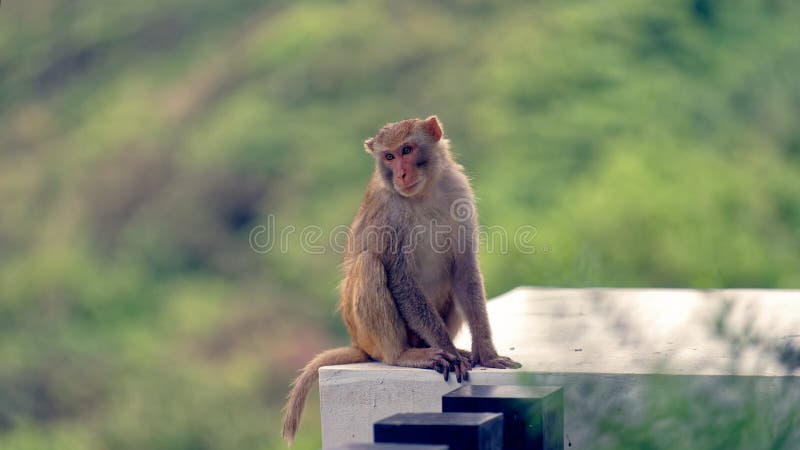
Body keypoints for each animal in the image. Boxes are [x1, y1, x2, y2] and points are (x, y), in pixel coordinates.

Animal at [281, 116, 521, 445]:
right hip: (367, 333)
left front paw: (485, 353)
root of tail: (358, 343)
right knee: (369, 264)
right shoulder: (388, 210)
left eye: (407, 149)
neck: (424, 193)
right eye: (389, 156)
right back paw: (404, 355)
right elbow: (398, 276)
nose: (401, 173)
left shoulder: (458, 190)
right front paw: (448, 351)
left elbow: (464, 270)